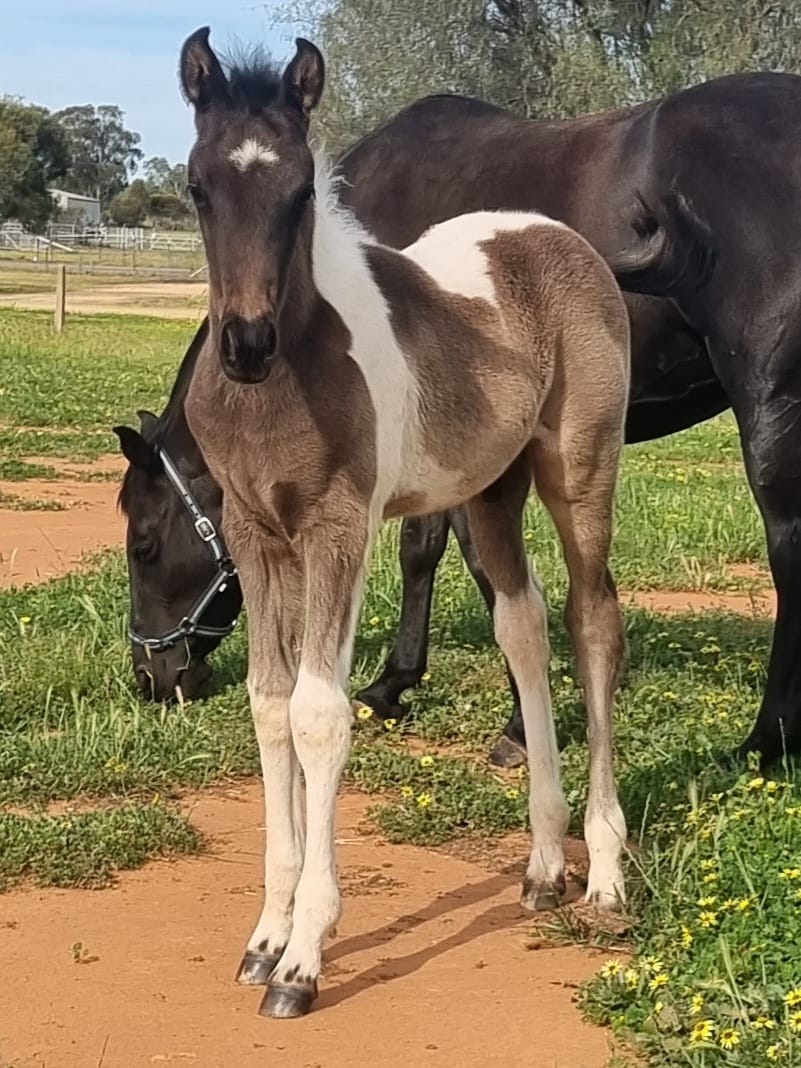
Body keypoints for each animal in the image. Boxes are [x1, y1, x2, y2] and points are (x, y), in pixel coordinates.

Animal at [175, 24, 653, 1018]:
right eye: (197, 187)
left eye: (300, 190)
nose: (245, 346)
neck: (292, 369)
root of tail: (560, 239)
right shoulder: (254, 533)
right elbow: (268, 704)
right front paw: (264, 935)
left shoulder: (337, 529)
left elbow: (319, 713)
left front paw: (303, 959)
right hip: (492, 491)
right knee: (522, 625)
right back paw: (542, 864)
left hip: (579, 473)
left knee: (593, 622)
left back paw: (601, 875)